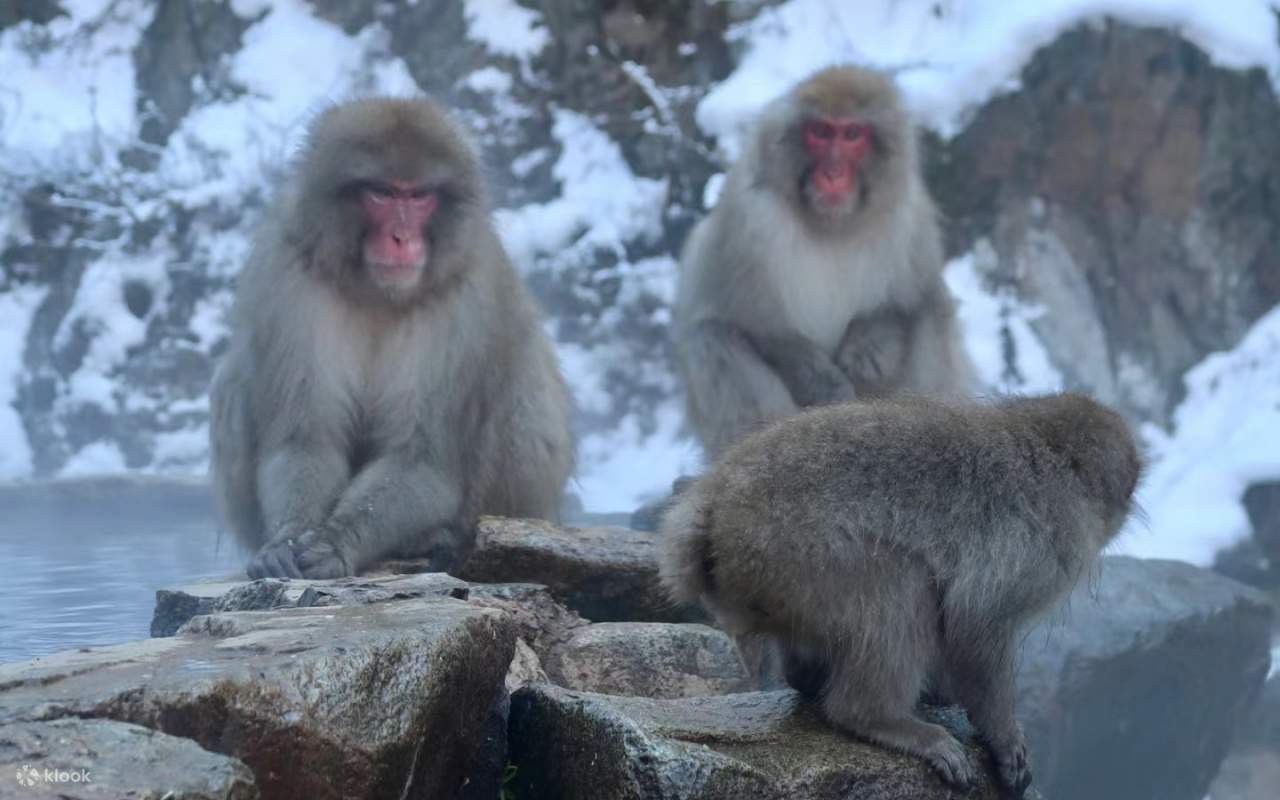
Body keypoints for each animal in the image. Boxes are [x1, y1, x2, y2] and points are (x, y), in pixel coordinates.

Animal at [209, 97, 573, 580]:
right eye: (381, 193)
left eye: (418, 196)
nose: (401, 238)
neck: (377, 293)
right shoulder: (287, 280)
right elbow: (306, 438)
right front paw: (286, 541)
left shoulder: (466, 304)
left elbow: (423, 461)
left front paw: (336, 542)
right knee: (233, 382)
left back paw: (438, 537)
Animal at [658, 393, 1142, 795]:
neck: (1045, 450)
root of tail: (709, 512)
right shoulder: (1038, 545)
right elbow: (976, 625)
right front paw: (1005, 738)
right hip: (798, 553)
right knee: (900, 588)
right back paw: (881, 718)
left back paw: (808, 677)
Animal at [672, 65, 975, 458]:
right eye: (819, 132)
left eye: (852, 135)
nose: (832, 173)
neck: (833, 228)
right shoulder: (745, 222)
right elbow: (760, 326)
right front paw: (825, 384)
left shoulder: (911, 220)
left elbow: (902, 304)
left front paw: (866, 352)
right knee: (710, 340)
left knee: (932, 309)